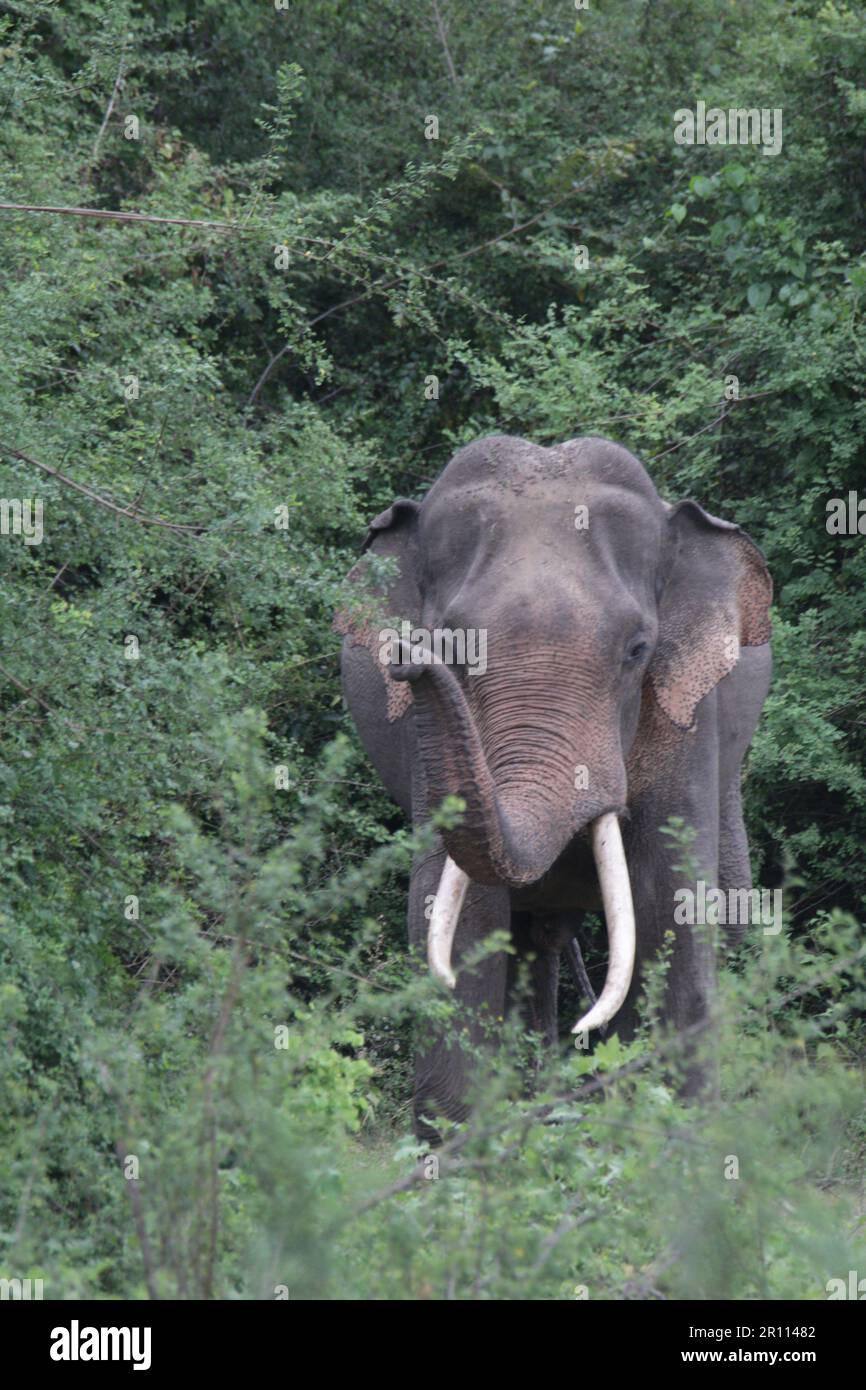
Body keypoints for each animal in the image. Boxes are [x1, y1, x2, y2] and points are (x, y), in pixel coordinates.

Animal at [336, 434, 772, 1136]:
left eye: (637, 650)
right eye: (450, 646)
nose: (408, 660)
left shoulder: (685, 714)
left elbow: (671, 902)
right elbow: (456, 910)